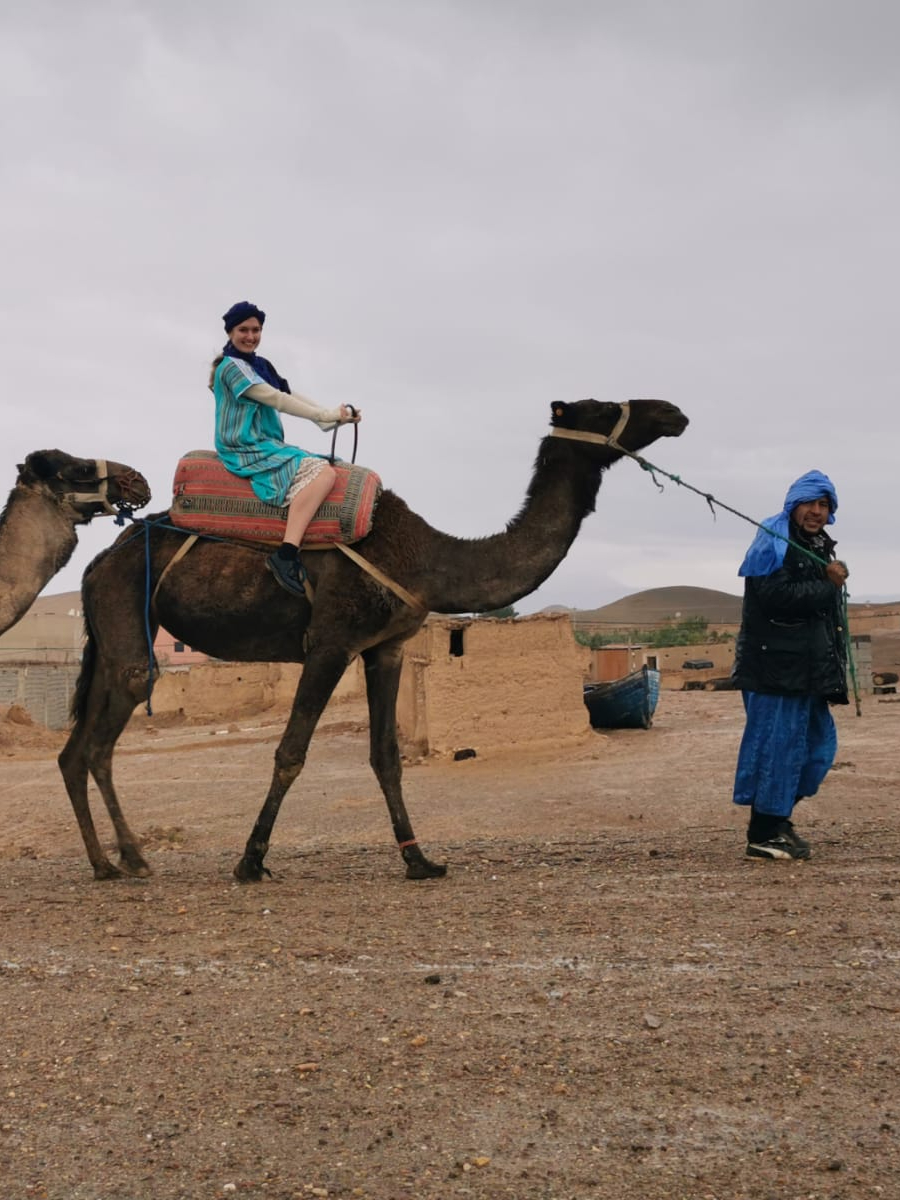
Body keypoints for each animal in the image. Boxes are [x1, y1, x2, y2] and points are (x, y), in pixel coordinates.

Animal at [59, 398, 688, 882]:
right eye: (603, 406)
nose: (673, 412)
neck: (430, 560)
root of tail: (97, 562)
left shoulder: (386, 647)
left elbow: (386, 755)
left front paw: (419, 861)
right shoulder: (331, 642)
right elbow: (290, 752)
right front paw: (251, 860)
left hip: (112, 636)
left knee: (76, 750)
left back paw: (107, 862)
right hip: (127, 620)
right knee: (101, 739)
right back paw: (128, 859)